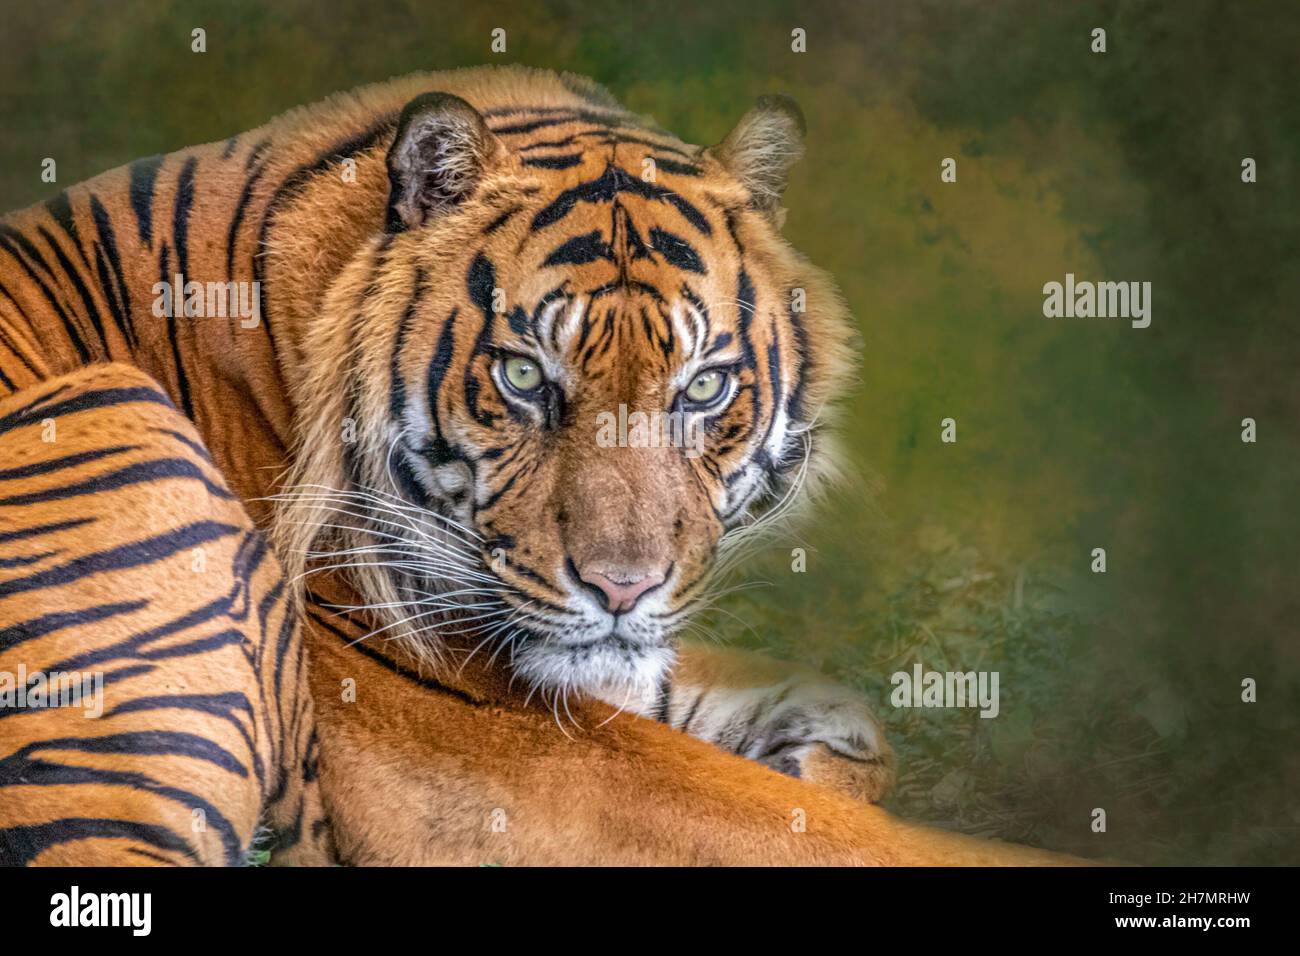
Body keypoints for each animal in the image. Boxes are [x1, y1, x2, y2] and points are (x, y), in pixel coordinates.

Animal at [0, 65, 1069, 865]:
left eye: (704, 388)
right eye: (522, 375)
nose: (623, 589)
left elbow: (833, 718)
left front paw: (810, 754)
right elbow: (853, 837)